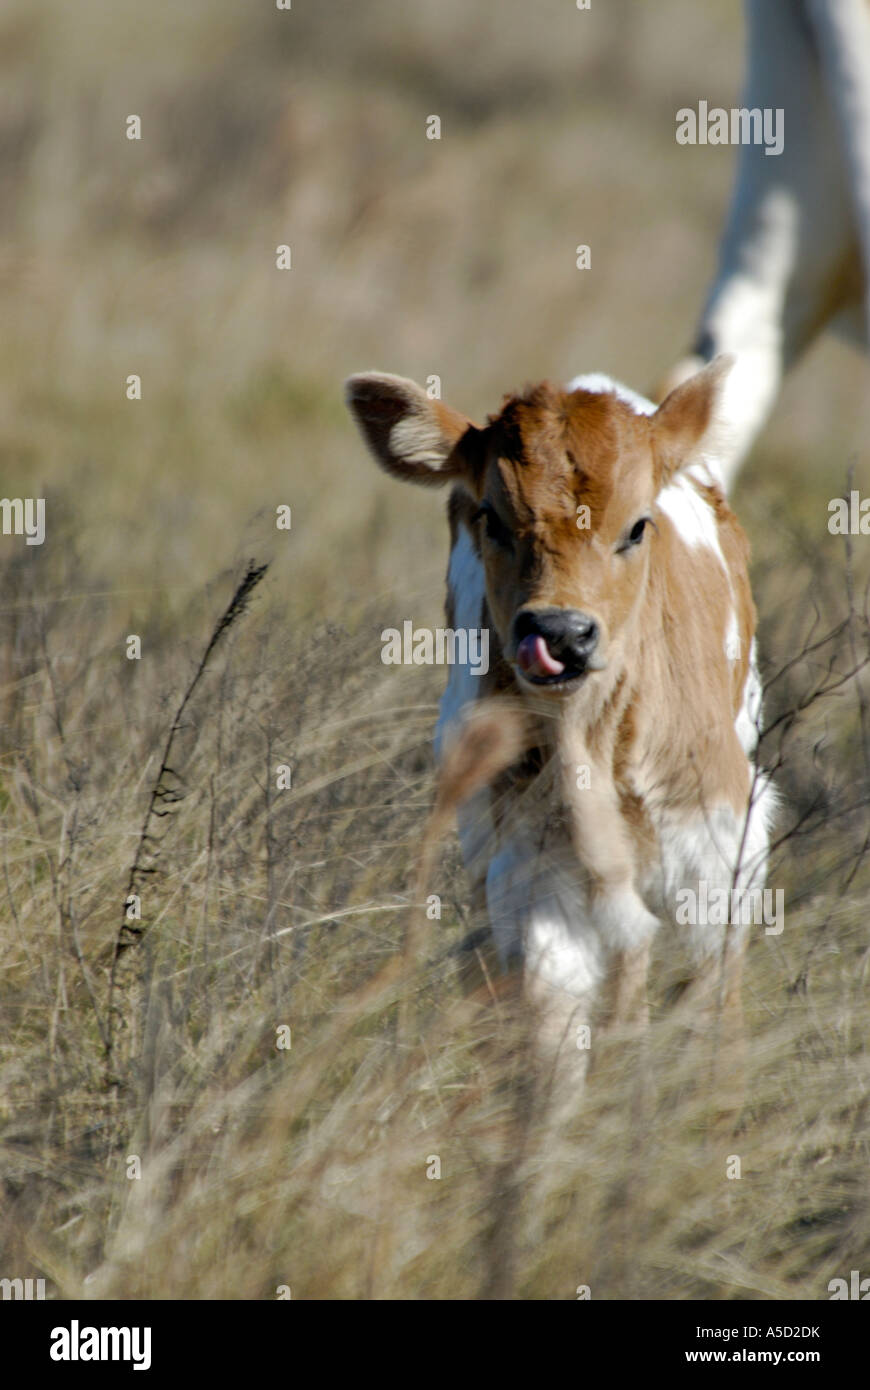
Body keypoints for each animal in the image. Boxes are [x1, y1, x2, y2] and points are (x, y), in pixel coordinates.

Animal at [346, 359, 776, 1071]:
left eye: (638, 526)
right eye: (491, 518)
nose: (560, 633)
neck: (592, 746)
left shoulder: (720, 854)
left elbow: (719, 1023)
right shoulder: (532, 882)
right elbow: (553, 1047)